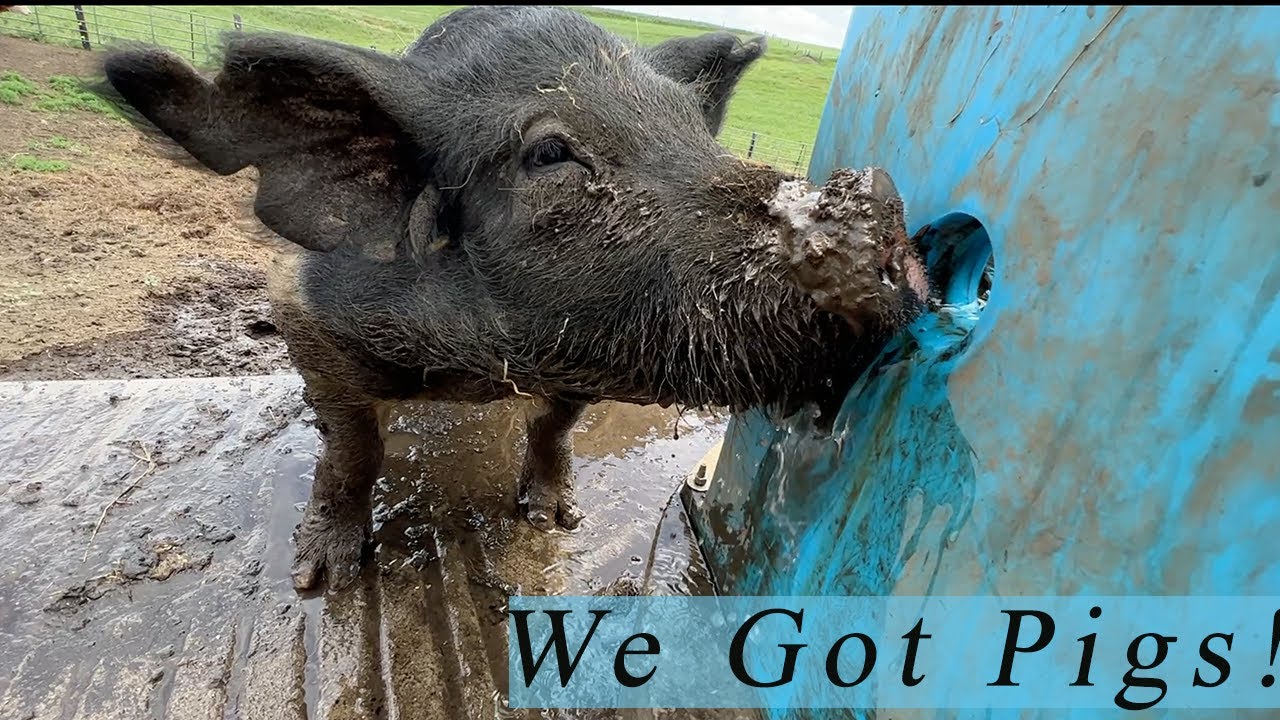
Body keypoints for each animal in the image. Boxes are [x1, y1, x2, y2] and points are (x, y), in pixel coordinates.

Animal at [98, 5, 930, 591]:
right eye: (550, 152)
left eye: (695, 128)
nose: (879, 203)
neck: (478, 369)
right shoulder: (302, 308)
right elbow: (351, 446)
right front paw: (321, 579)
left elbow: (557, 425)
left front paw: (559, 520)